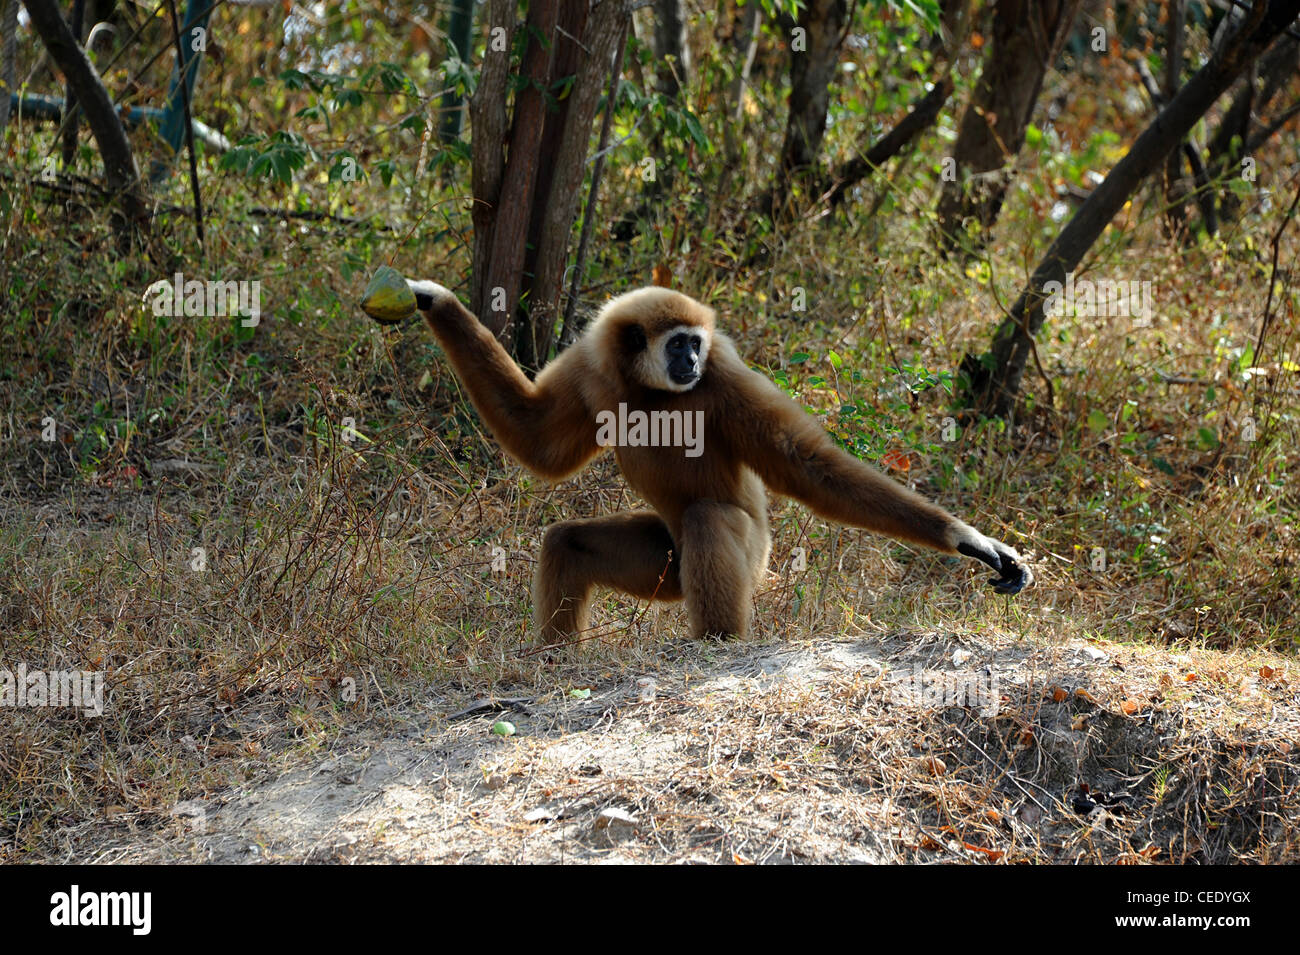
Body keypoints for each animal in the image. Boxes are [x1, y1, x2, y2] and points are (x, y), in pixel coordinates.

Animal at [360, 271, 1032, 641]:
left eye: (695, 344)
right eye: (677, 344)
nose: (690, 359)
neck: (650, 391)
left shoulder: (725, 376)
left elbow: (807, 463)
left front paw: (970, 540)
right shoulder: (592, 371)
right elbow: (538, 445)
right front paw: (431, 299)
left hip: (750, 558)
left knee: (711, 516)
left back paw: (717, 640)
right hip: (663, 568)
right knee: (567, 542)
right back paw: (553, 663)